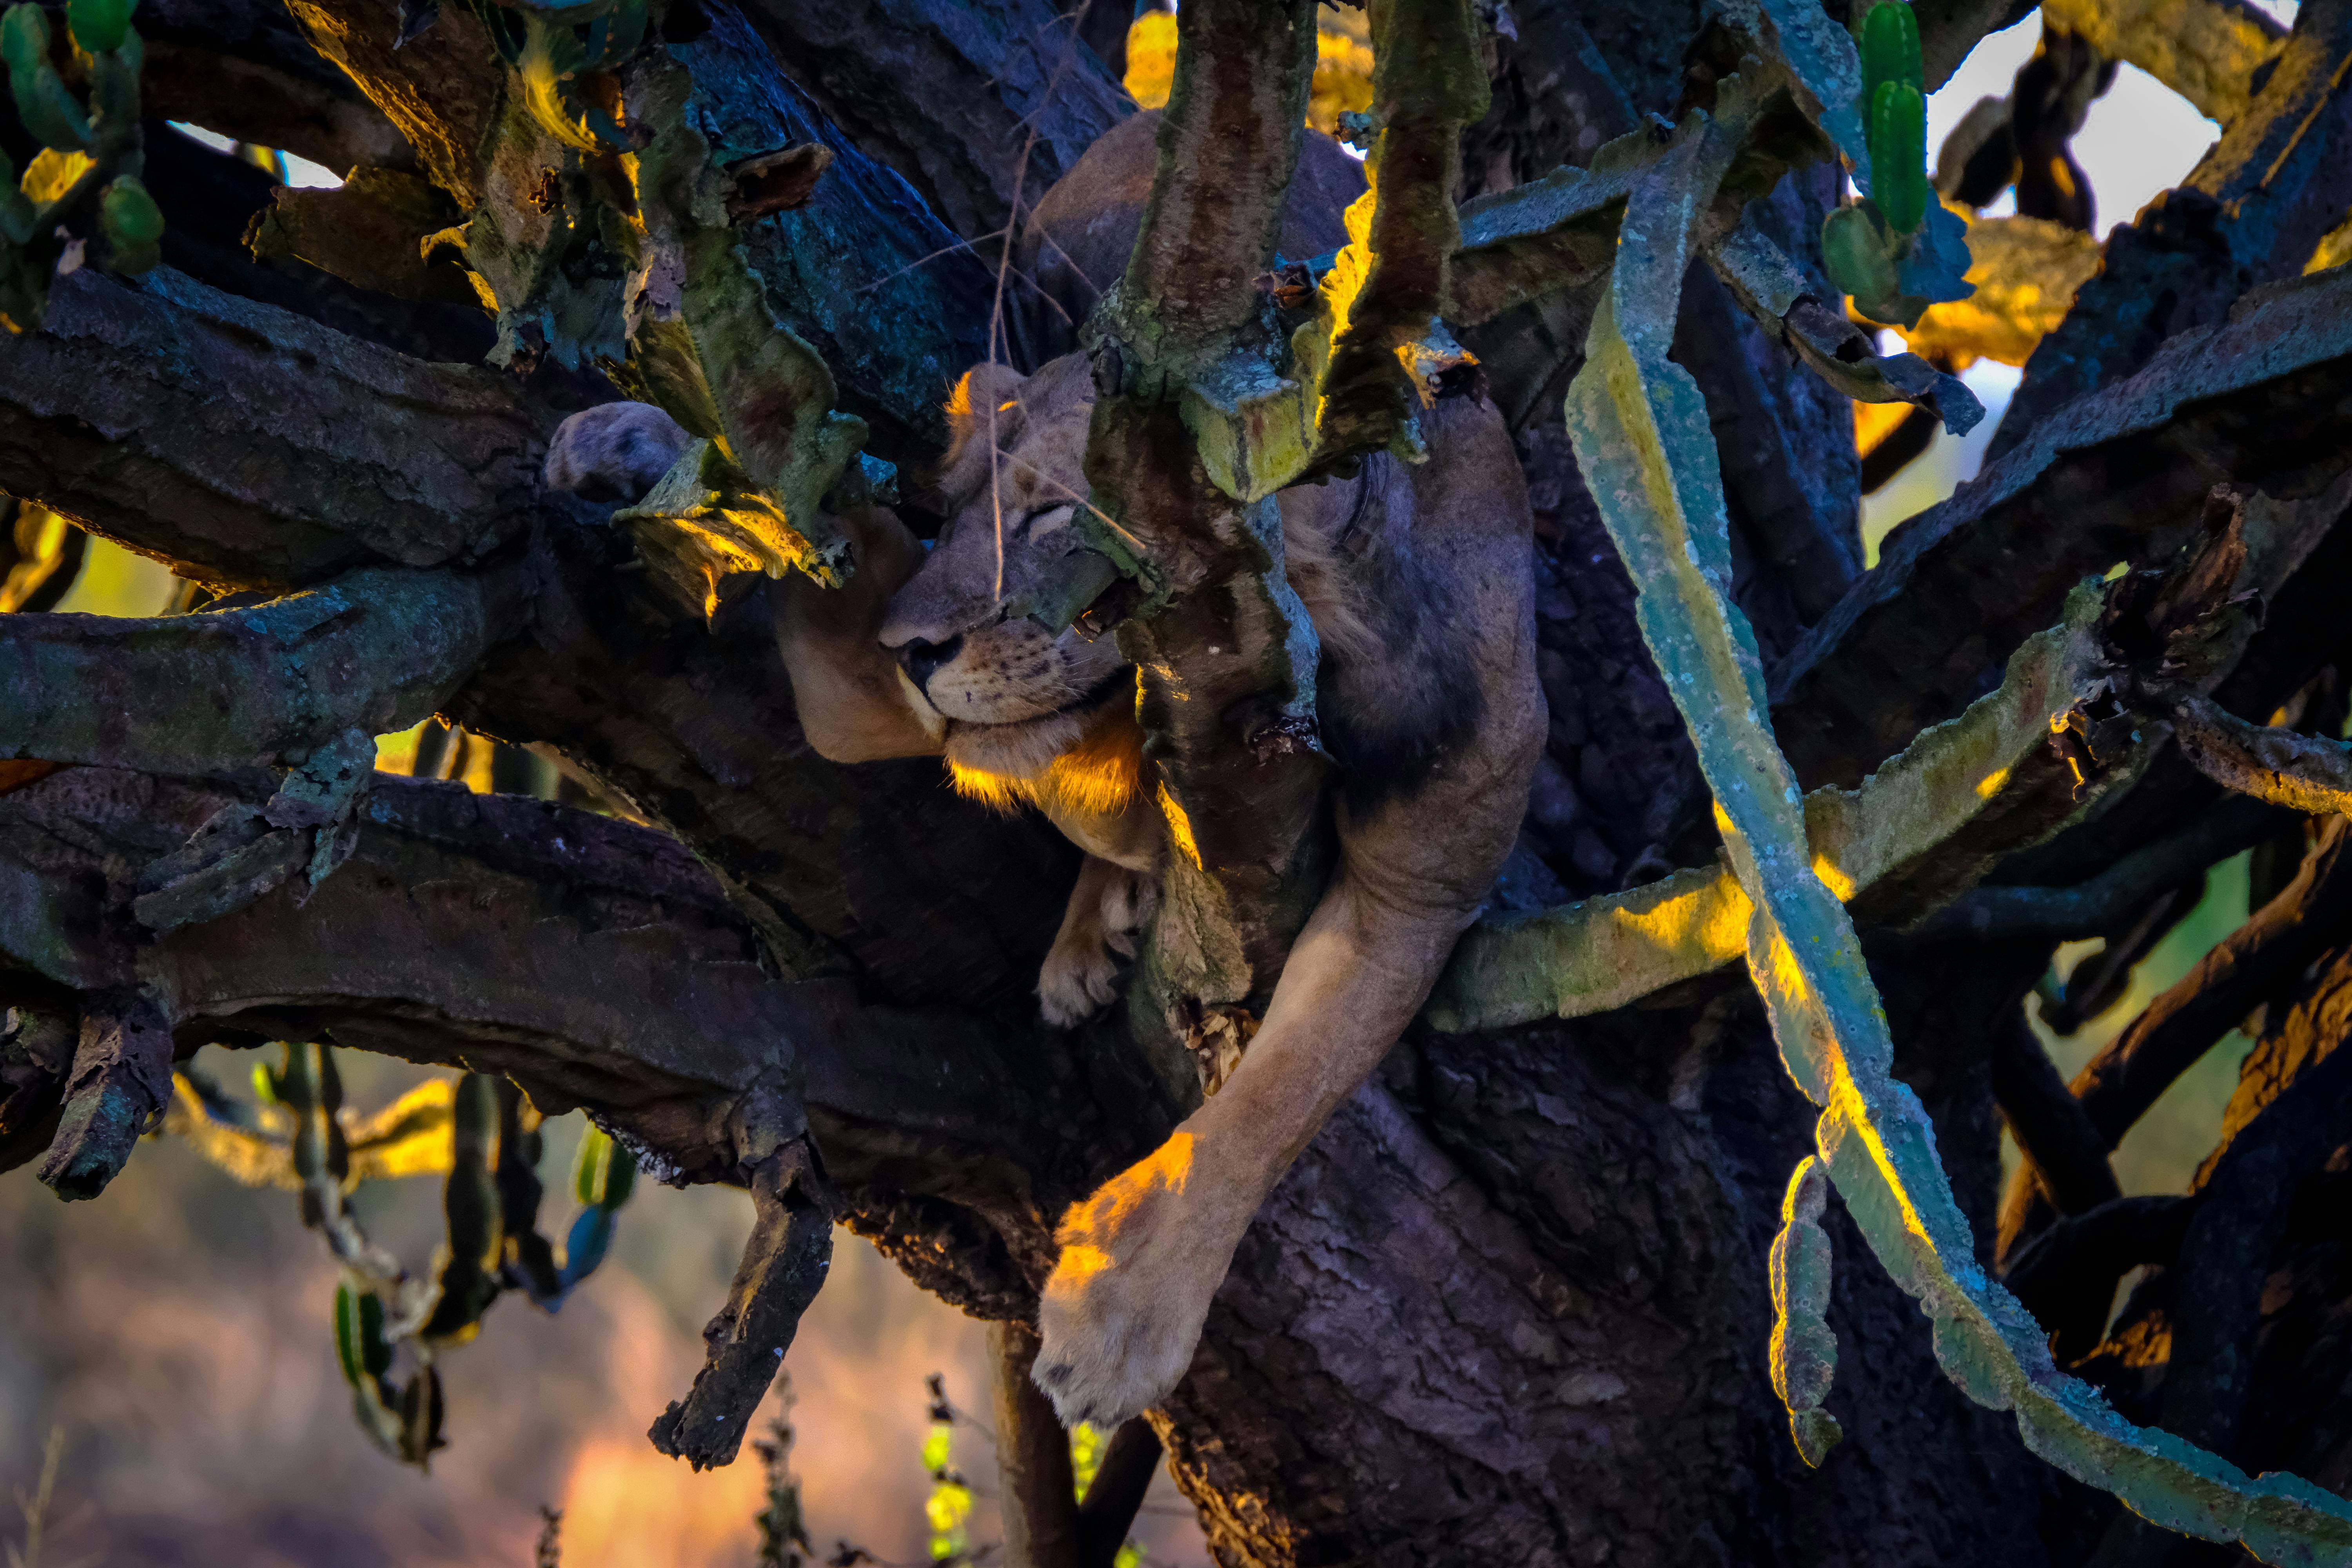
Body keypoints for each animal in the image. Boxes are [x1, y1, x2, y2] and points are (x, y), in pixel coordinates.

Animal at [544, 116, 1542, 1430]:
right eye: (962, 511)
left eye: (1059, 515)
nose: (916, 652)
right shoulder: (920, 691)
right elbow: (870, 583)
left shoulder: (1414, 891)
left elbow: (1276, 1099)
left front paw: (1120, 1316)